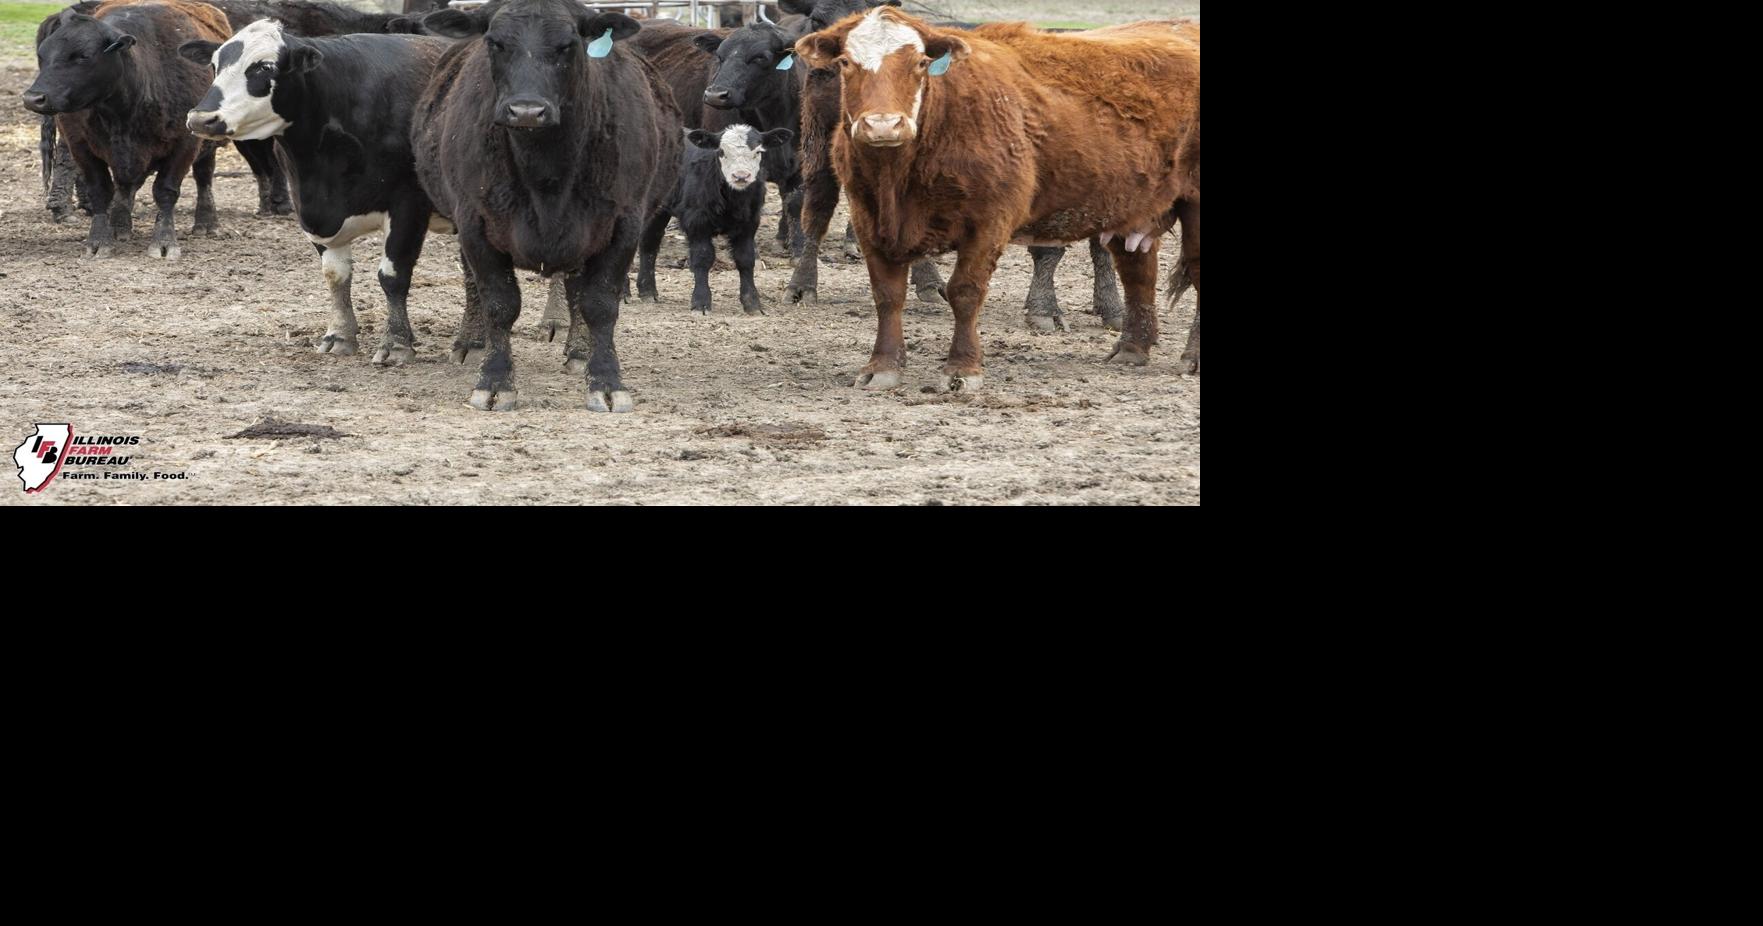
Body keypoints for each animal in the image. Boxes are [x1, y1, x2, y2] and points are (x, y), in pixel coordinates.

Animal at [25, 0, 233, 259]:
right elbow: (101, 191)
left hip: (207, 144)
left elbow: (165, 191)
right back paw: (119, 225)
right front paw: (98, 241)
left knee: (204, 178)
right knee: (125, 186)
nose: (33, 98)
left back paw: (206, 223)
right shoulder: (80, 145)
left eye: (83, 56)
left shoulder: (185, 144)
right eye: (42, 55)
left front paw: (164, 242)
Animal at [179, 21, 452, 365]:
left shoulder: (408, 204)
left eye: (264, 67)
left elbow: (392, 275)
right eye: (214, 66)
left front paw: (397, 344)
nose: (201, 119)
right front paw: (340, 335)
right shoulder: (309, 208)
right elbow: (335, 275)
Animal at [414, 0, 682, 413]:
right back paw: (472, 342)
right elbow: (499, 303)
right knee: (472, 284)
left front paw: (606, 381)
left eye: (568, 44)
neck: (547, 175)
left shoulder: (624, 223)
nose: (526, 111)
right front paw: (494, 381)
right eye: (494, 42)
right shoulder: (474, 221)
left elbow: (600, 304)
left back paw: (579, 350)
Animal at [795, 7, 1201, 390]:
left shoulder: (989, 222)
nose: (883, 124)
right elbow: (887, 294)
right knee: (1138, 273)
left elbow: (965, 292)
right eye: (846, 62)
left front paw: (961, 369)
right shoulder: (869, 218)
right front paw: (881, 367)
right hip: (1132, 205)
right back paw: (1133, 348)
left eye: (921, 63)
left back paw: (1190, 357)